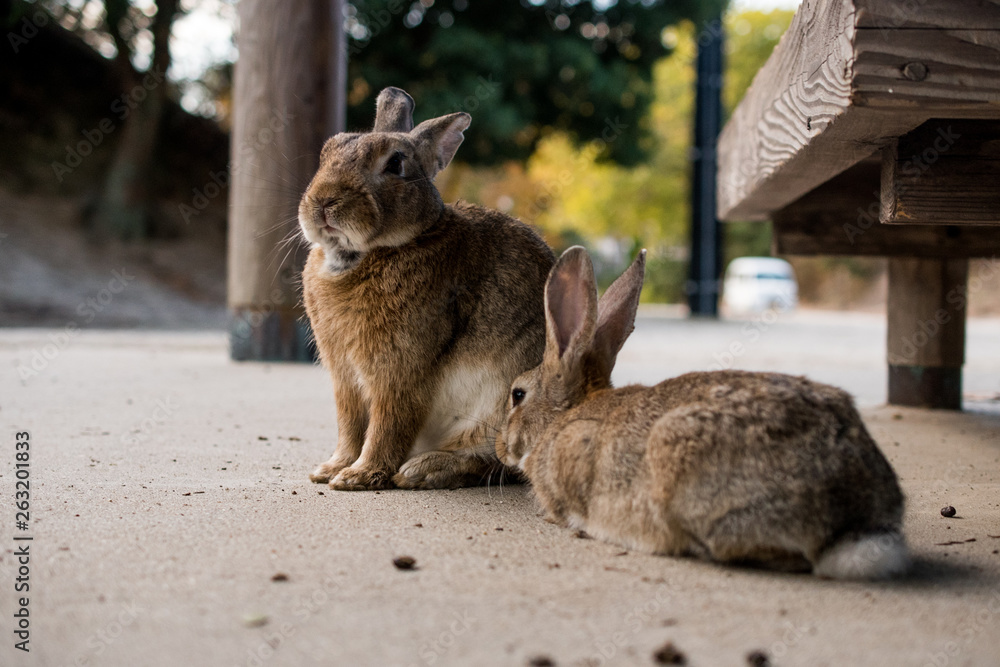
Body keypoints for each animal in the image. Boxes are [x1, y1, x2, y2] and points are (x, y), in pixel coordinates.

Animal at [299, 87, 555, 491]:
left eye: (395, 164)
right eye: (326, 154)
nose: (324, 201)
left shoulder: (400, 369)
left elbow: (388, 424)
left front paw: (358, 476)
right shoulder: (345, 377)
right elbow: (350, 425)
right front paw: (329, 470)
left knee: (495, 462)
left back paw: (423, 470)